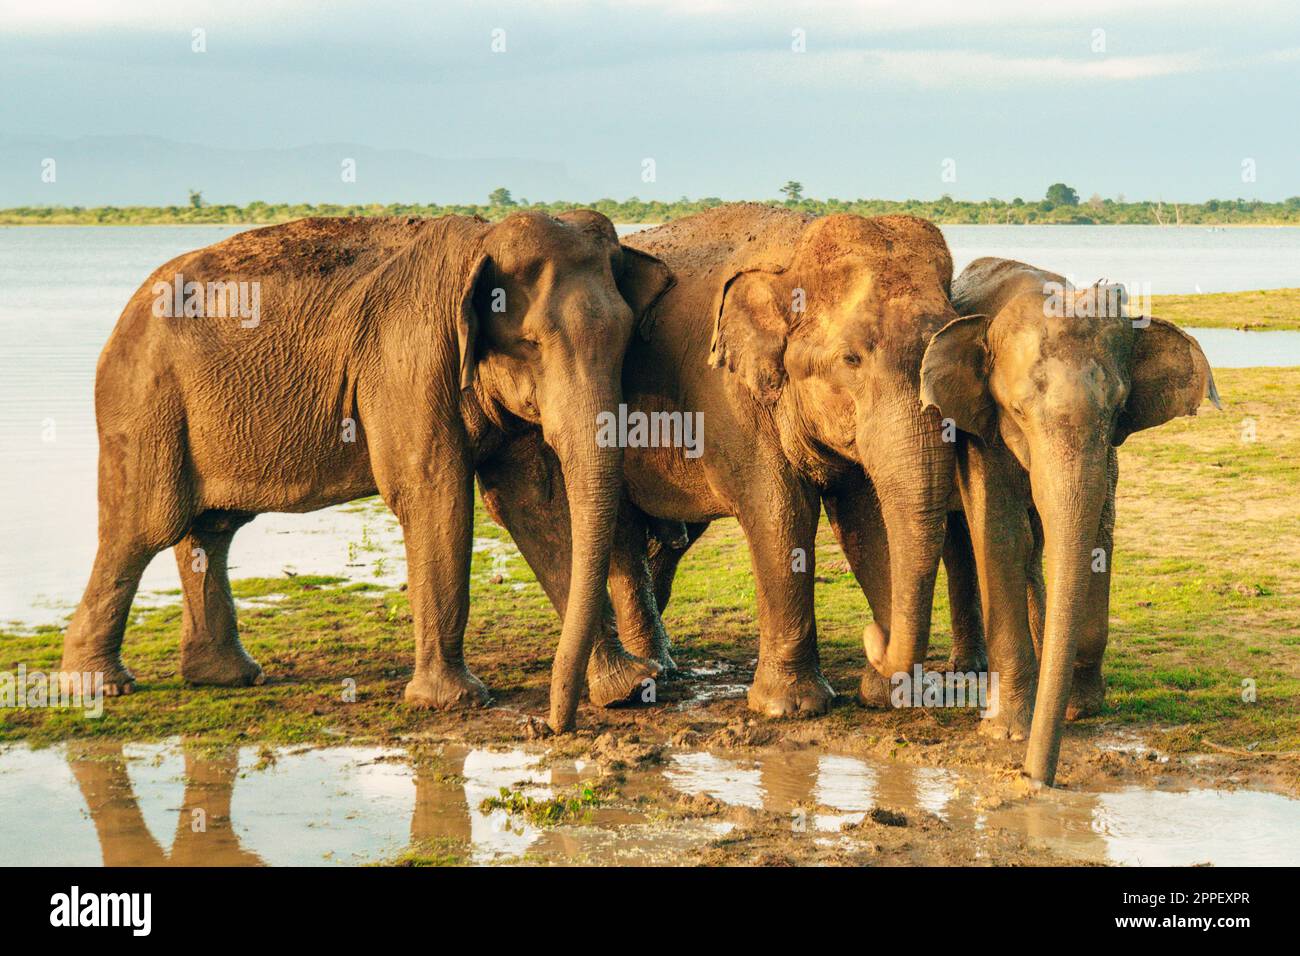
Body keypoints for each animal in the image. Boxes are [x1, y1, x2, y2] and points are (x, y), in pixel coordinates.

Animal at [58, 210, 674, 732]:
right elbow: (433, 492)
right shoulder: (412, 362)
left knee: (212, 528)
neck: (483, 240)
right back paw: (102, 687)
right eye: (530, 344)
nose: (548, 725)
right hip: (144, 404)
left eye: (627, 342)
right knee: (143, 528)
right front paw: (452, 702)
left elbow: (535, 506)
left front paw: (625, 689)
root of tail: (122, 318)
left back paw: (227, 678)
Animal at [477, 203, 961, 717]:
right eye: (851, 359)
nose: (874, 640)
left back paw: (658, 667)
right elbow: (779, 513)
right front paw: (789, 707)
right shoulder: (727, 399)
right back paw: (648, 678)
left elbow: (866, 517)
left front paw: (887, 695)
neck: (794, 254)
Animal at [918, 256, 1220, 784]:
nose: (1034, 778)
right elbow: (999, 534)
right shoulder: (978, 428)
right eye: (1018, 411)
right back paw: (970, 669)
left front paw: (1080, 709)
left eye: (1119, 409)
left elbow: (1097, 531)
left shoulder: (1110, 448)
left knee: (1037, 548)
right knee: (969, 542)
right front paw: (1008, 732)